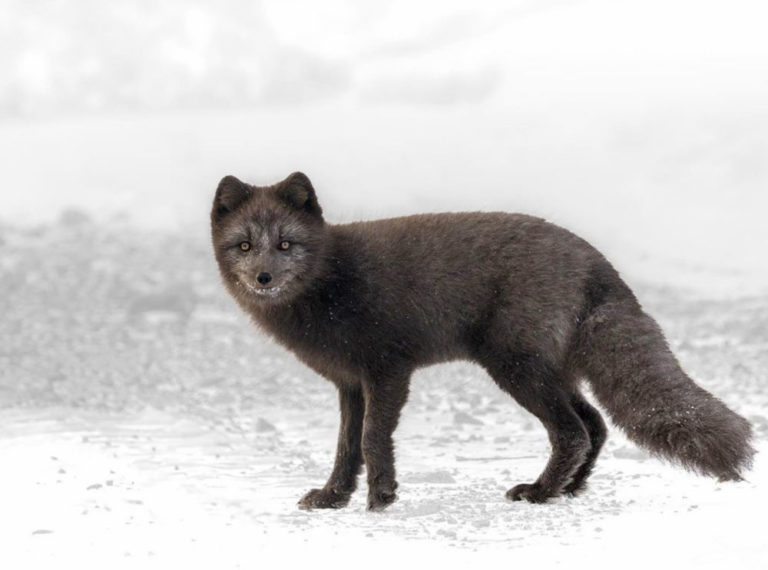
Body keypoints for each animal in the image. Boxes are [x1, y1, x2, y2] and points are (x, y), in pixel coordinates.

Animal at [210, 171, 754, 511]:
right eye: (244, 244)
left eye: (286, 244)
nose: (262, 278)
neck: (330, 281)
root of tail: (595, 259)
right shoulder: (349, 385)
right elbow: (346, 449)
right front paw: (332, 499)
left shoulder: (388, 372)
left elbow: (371, 440)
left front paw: (381, 499)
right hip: (546, 369)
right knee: (595, 425)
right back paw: (567, 491)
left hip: (516, 367)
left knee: (574, 431)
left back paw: (539, 492)